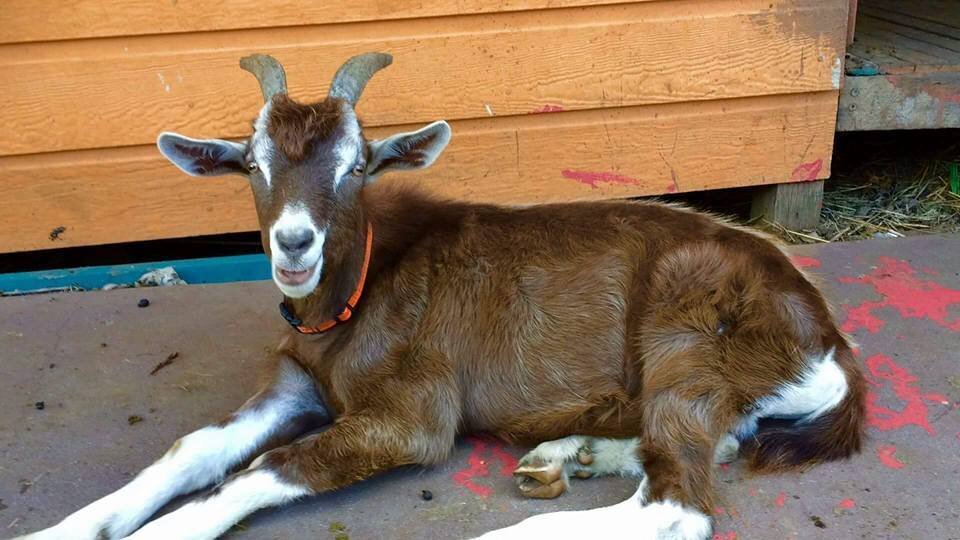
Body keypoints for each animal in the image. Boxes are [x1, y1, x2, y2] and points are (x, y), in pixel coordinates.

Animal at [18, 52, 865, 540]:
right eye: (252, 164)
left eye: (357, 165)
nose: (294, 244)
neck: (353, 299)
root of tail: (828, 338)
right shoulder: (295, 382)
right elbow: (194, 448)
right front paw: (62, 532)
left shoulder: (413, 414)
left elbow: (273, 466)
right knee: (705, 448)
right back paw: (571, 453)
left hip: (692, 331)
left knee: (680, 501)